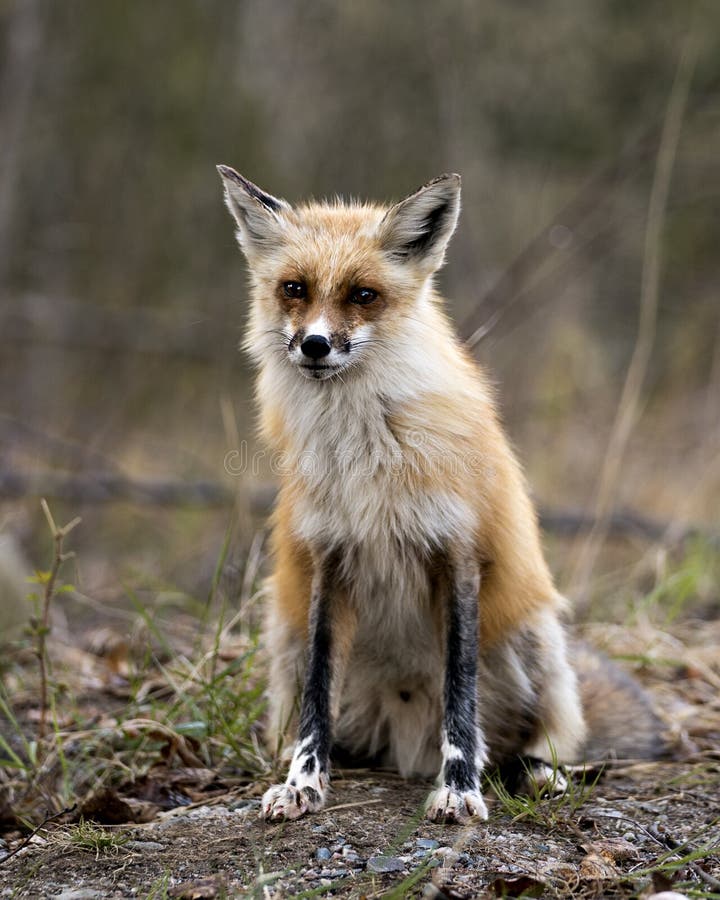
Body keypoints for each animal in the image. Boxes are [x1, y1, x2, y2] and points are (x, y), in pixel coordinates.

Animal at [216, 166, 665, 824]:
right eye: (294, 288)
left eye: (364, 295)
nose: (314, 346)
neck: (368, 449)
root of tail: (406, 742)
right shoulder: (328, 559)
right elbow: (317, 698)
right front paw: (304, 782)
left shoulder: (459, 555)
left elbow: (461, 694)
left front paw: (458, 790)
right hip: (284, 630)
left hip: (532, 637)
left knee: (533, 738)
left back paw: (534, 773)